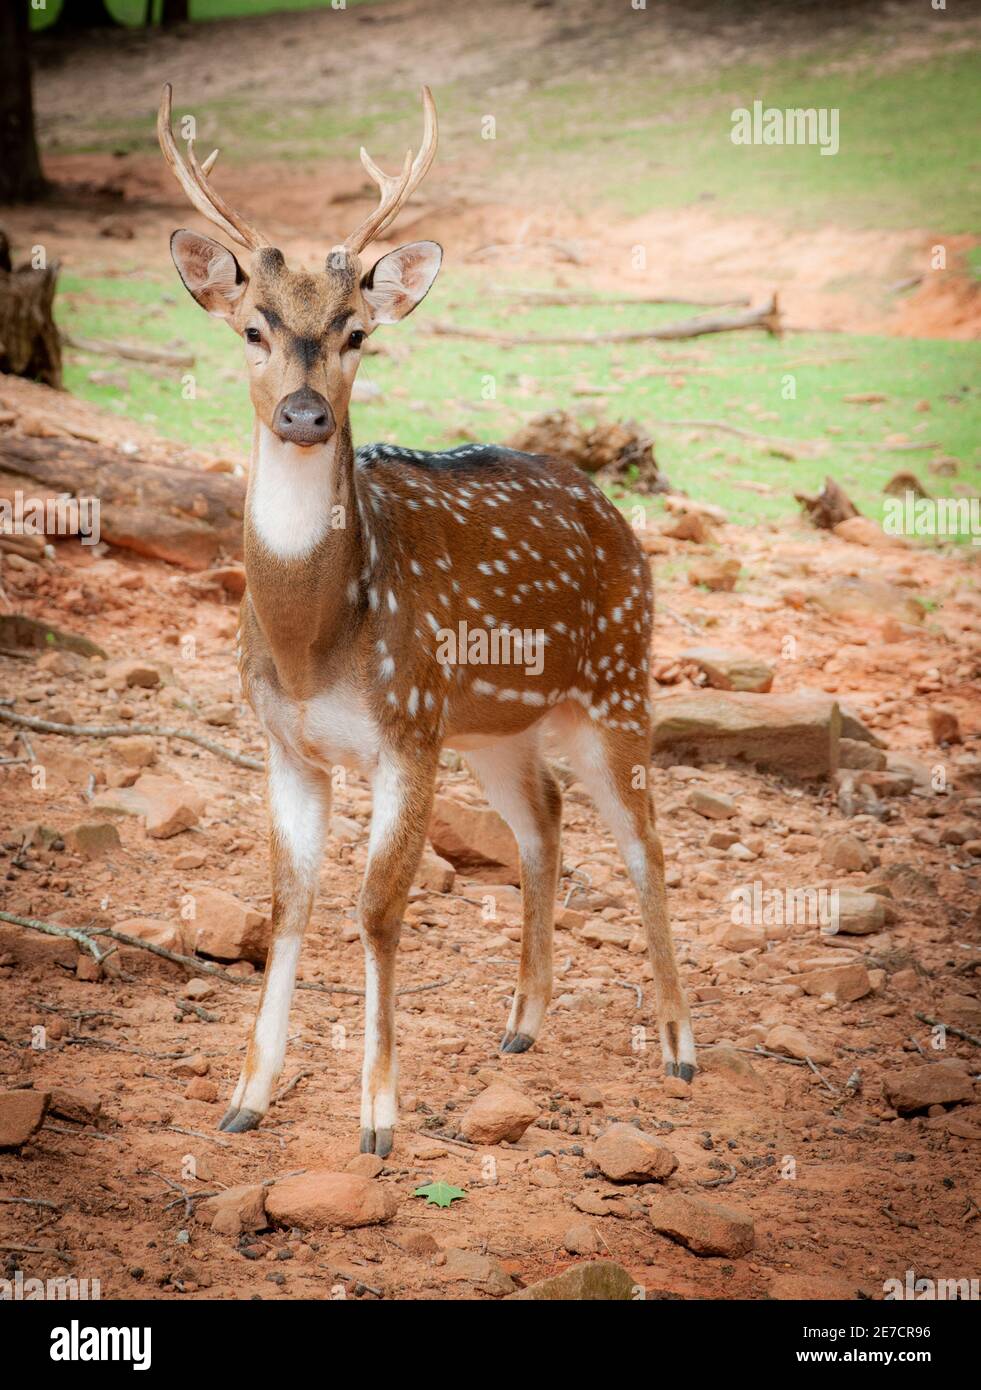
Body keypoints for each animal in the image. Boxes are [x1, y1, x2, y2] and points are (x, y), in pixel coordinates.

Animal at [157, 83, 695, 1157]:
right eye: (252, 328)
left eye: (357, 332)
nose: (305, 413)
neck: (314, 642)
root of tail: (617, 517)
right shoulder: (286, 742)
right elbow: (287, 902)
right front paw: (246, 1098)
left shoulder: (406, 730)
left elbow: (377, 908)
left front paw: (378, 1119)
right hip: (494, 726)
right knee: (545, 822)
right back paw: (522, 1025)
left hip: (618, 681)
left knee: (645, 845)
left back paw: (677, 1047)